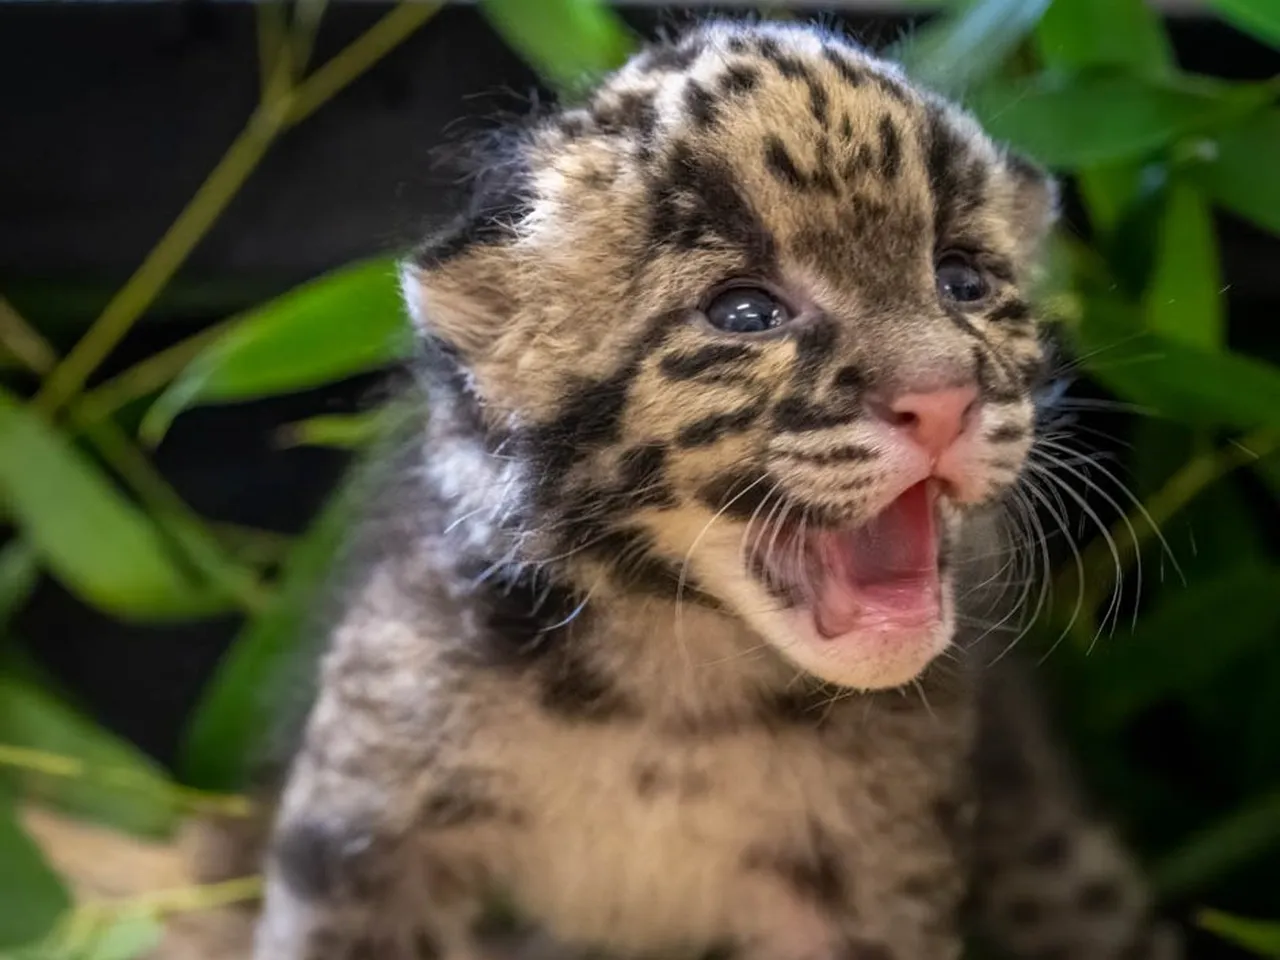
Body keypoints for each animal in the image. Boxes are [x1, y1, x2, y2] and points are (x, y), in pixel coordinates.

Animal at [249, 18, 1182, 960]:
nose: (944, 397)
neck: (677, 694)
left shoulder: (875, 888)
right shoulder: (366, 835)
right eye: (744, 313)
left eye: (962, 280)